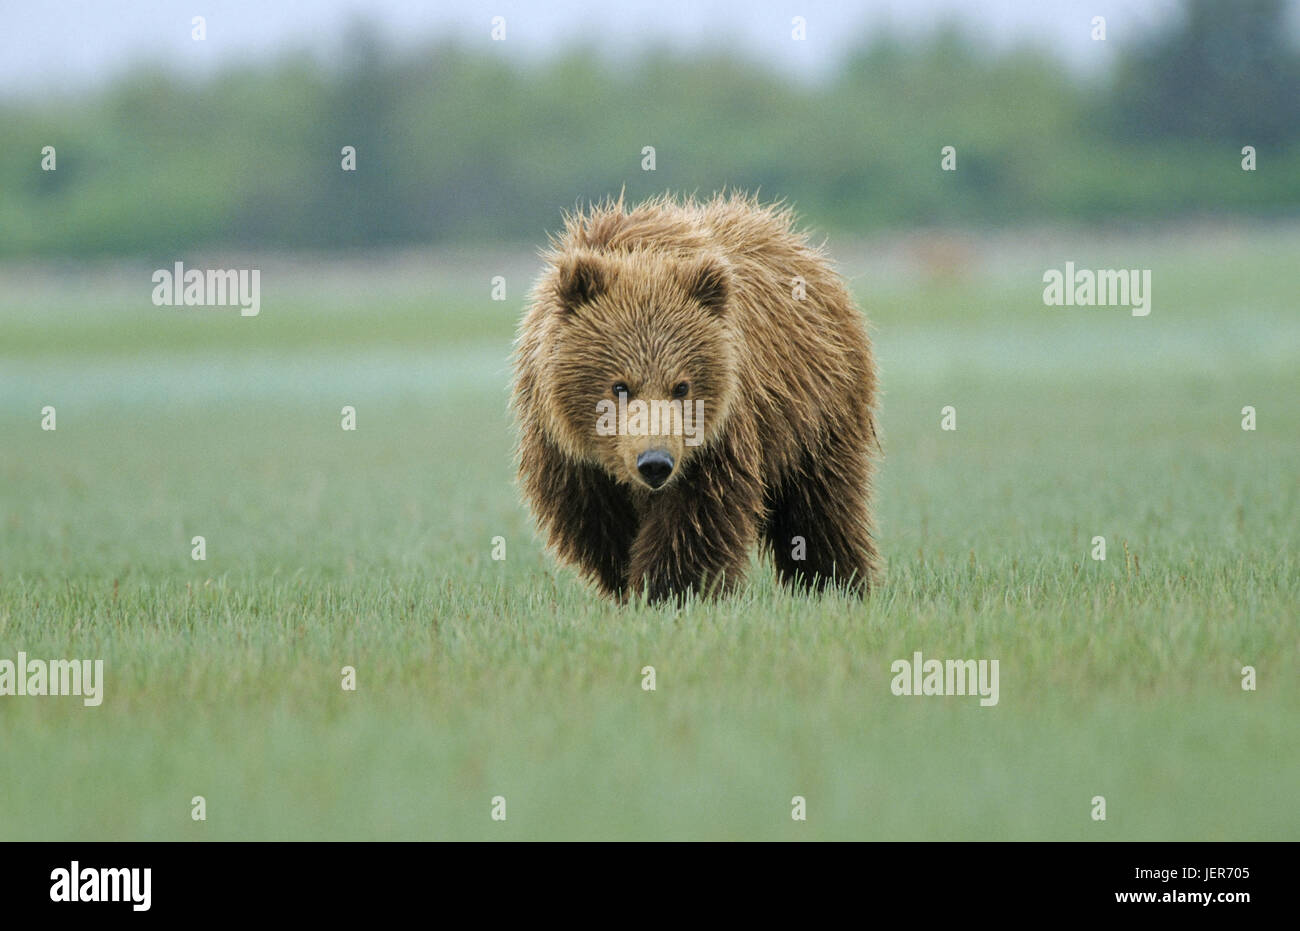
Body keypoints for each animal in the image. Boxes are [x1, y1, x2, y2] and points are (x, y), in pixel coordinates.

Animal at [511, 192, 879, 604]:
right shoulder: (570, 455)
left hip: (818, 410)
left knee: (821, 506)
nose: (655, 463)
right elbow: (599, 522)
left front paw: (669, 588)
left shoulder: (717, 435)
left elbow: (698, 515)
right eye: (619, 385)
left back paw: (834, 583)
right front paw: (629, 584)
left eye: (681, 386)